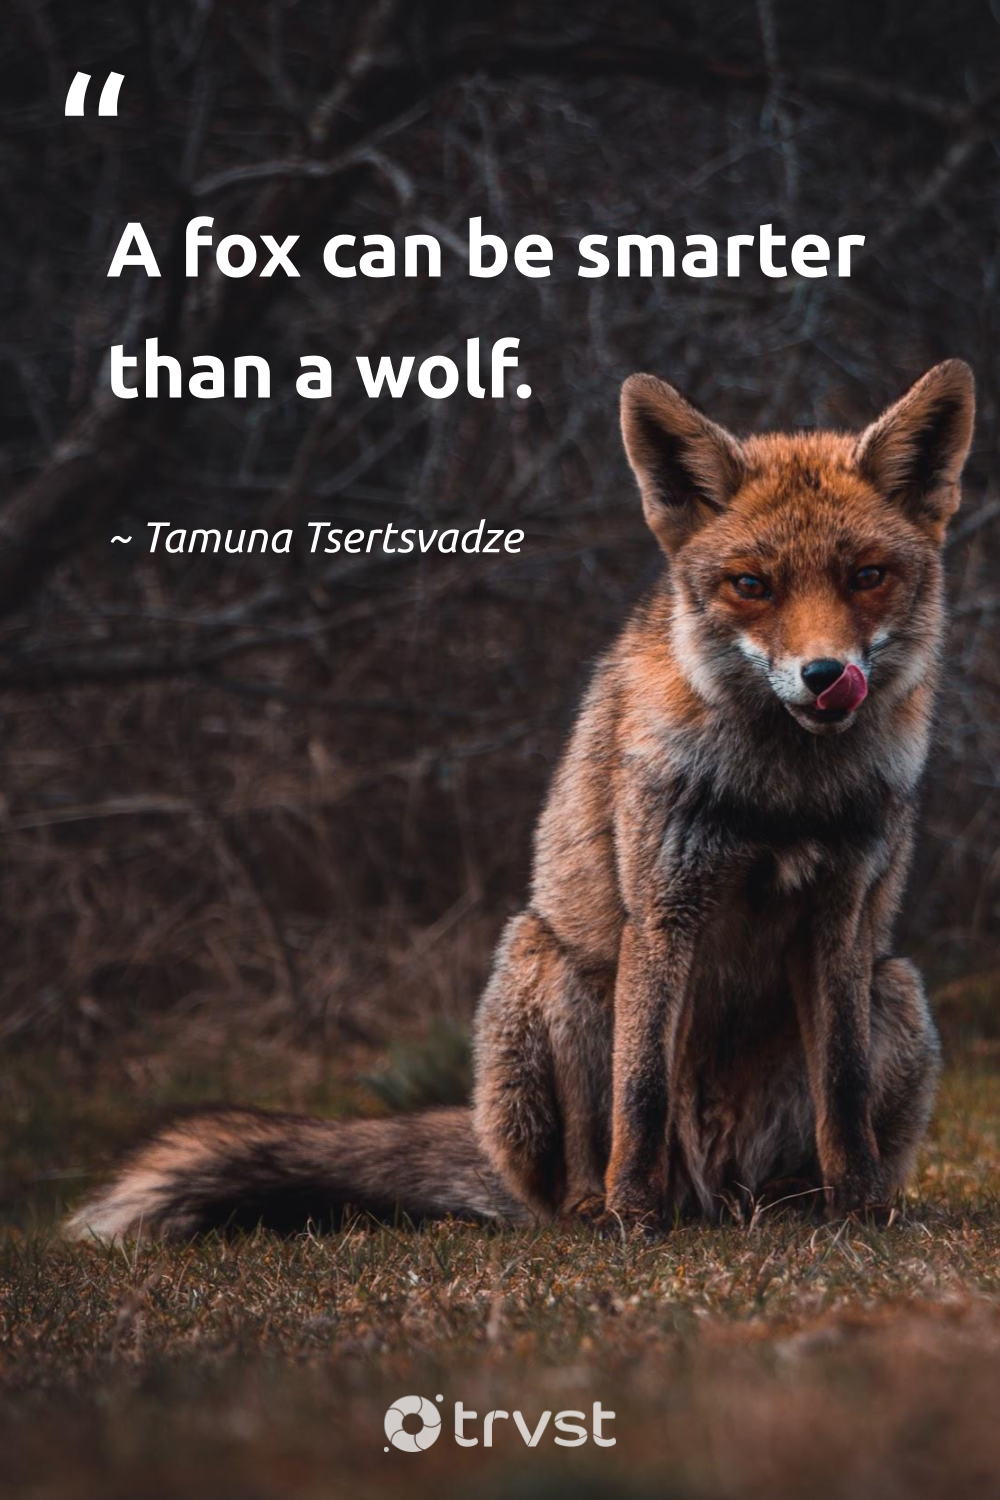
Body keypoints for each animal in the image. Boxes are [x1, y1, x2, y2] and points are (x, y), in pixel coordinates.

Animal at [67, 358, 974, 1241]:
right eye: (752, 585)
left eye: (867, 577)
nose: (826, 676)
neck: (784, 796)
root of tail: (718, 1194)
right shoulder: (665, 909)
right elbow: (641, 1091)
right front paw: (633, 1220)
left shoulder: (840, 917)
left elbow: (842, 1091)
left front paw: (863, 1212)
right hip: (554, 968)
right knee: (585, 1161)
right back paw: (602, 1209)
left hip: (895, 987)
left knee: (804, 1138)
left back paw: (804, 1201)